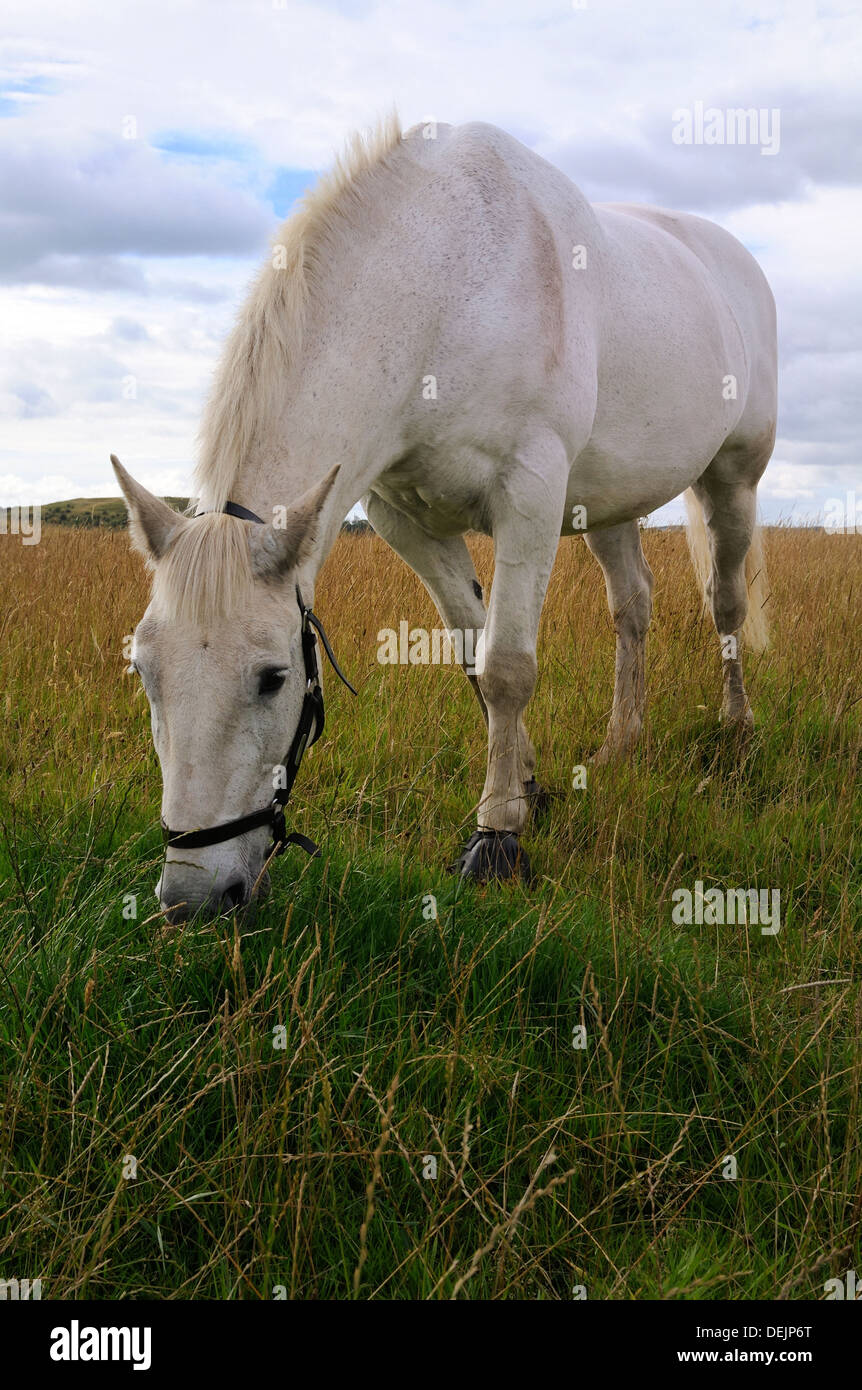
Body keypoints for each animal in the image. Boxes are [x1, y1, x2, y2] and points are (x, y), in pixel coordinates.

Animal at [113, 116, 776, 920]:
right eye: (145, 672)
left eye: (273, 678)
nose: (193, 898)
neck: (446, 292)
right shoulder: (407, 520)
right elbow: (473, 655)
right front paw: (526, 785)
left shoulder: (529, 493)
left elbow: (508, 668)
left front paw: (497, 837)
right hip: (610, 504)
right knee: (634, 606)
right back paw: (623, 742)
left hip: (731, 480)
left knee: (726, 601)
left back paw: (737, 729)